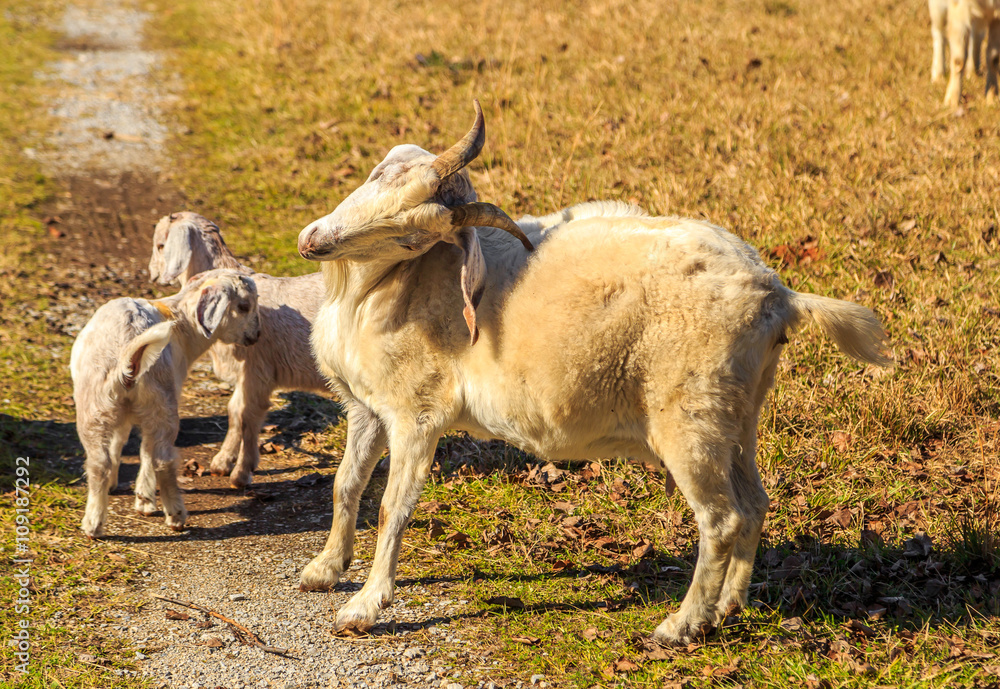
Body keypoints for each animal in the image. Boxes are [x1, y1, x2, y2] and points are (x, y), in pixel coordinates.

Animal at [71, 270, 260, 537]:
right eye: (244, 306)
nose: (256, 335)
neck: (182, 324)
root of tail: (128, 355)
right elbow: (143, 451)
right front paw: (145, 500)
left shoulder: (123, 413)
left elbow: (119, 441)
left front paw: (122, 488)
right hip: (162, 403)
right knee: (162, 459)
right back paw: (176, 515)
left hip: (96, 406)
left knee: (99, 461)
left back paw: (94, 523)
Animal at [149, 211, 329, 487]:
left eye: (161, 245)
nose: (152, 275)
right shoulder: (245, 374)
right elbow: (234, 412)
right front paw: (223, 462)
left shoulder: (257, 370)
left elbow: (248, 417)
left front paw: (242, 472)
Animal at [294, 101, 891, 645]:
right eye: (380, 177)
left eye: (413, 238)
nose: (313, 241)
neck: (379, 291)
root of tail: (778, 294)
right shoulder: (367, 407)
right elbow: (346, 483)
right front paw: (324, 569)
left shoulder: (416, 413)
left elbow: (392, 507)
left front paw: (365, 607)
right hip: (736, 414)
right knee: (755, 503)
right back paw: (728, 609)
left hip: (691, 416)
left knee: (722, 519)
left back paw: (682, 625)